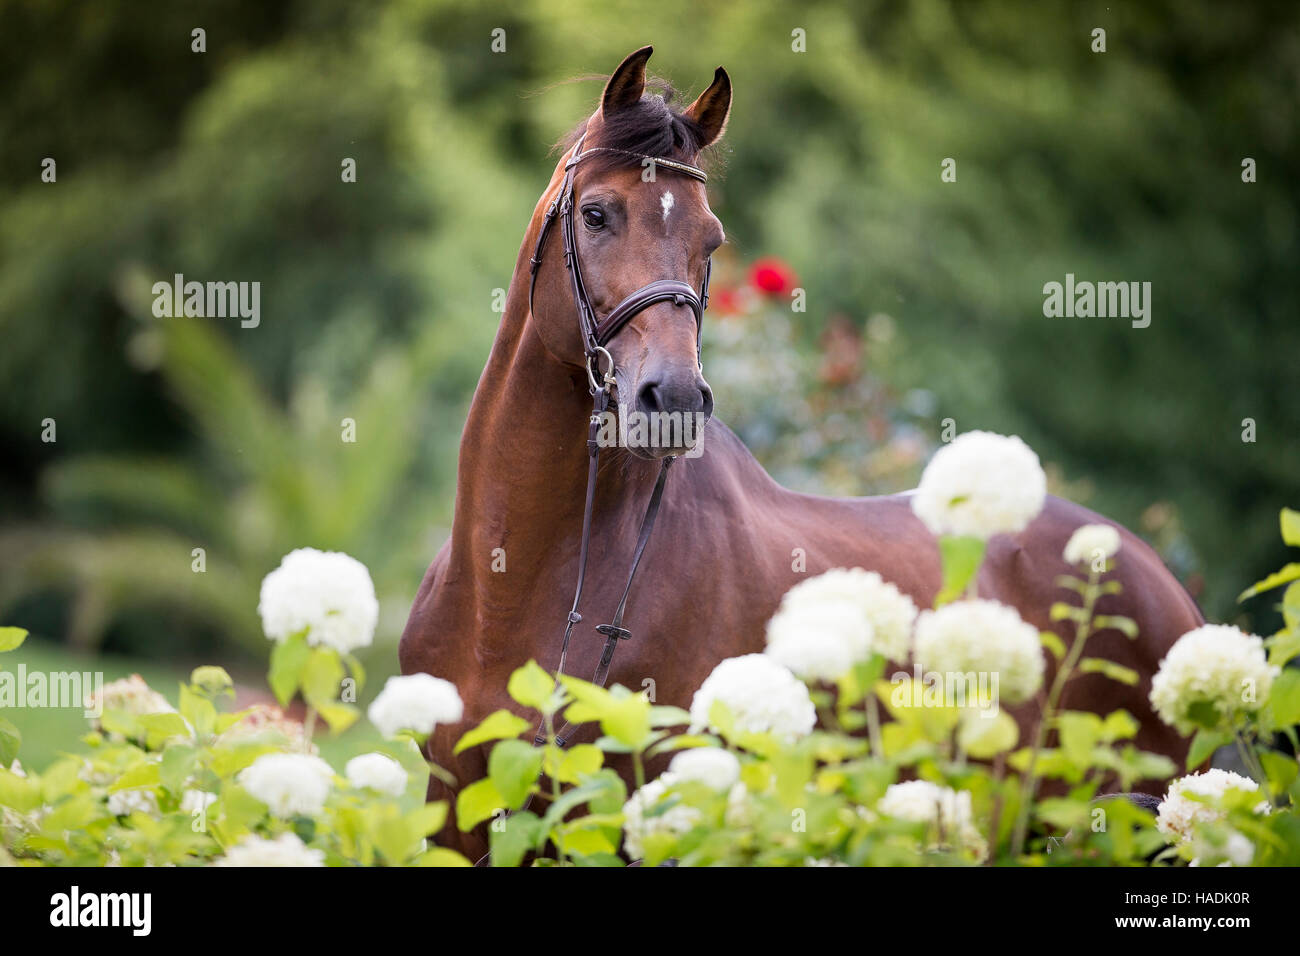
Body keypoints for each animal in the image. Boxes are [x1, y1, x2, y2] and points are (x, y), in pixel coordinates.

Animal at [399, 46, 1203, 859]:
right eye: (596, 214)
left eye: (712, 240)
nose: (674, 398)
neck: (514, 588)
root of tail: (1152, 573)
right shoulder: (460, 813)